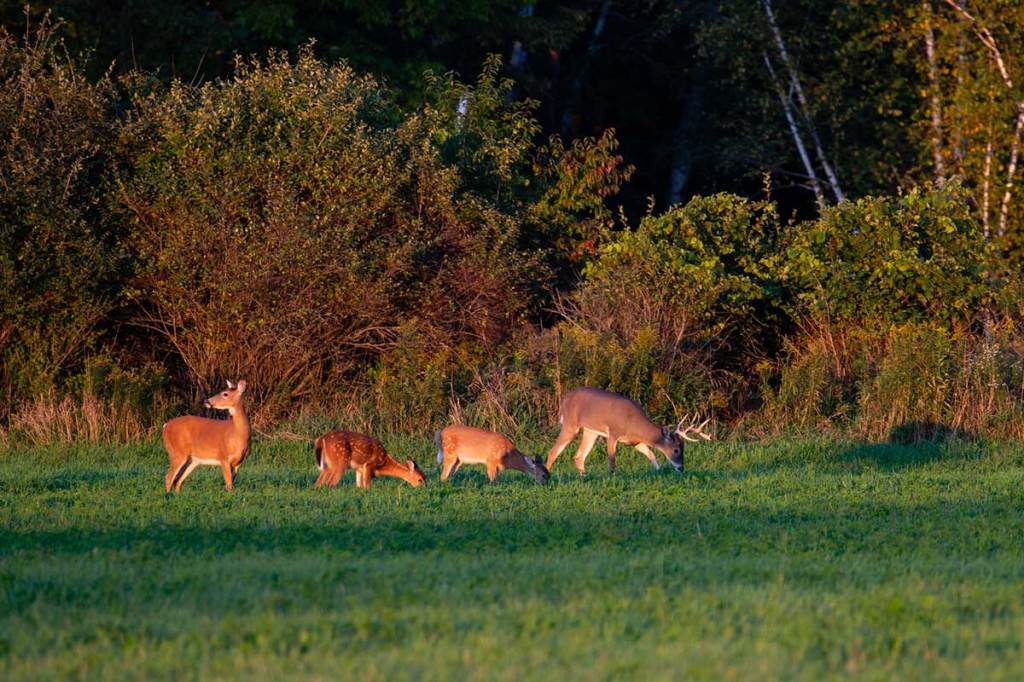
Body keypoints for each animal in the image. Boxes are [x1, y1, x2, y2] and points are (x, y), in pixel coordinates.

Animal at [546, 387, 712, 475]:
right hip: (570, 424)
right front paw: (612, 476)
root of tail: (565, 398)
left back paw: (584, 476)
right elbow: (612, 460)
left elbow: (651, 454)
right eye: (676, 449)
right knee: (553, 452)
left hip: (590, 431)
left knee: (579, 456)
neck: (633, 423)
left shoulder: (635, 441)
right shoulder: (613, 433)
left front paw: (658, 471)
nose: (681, 468)